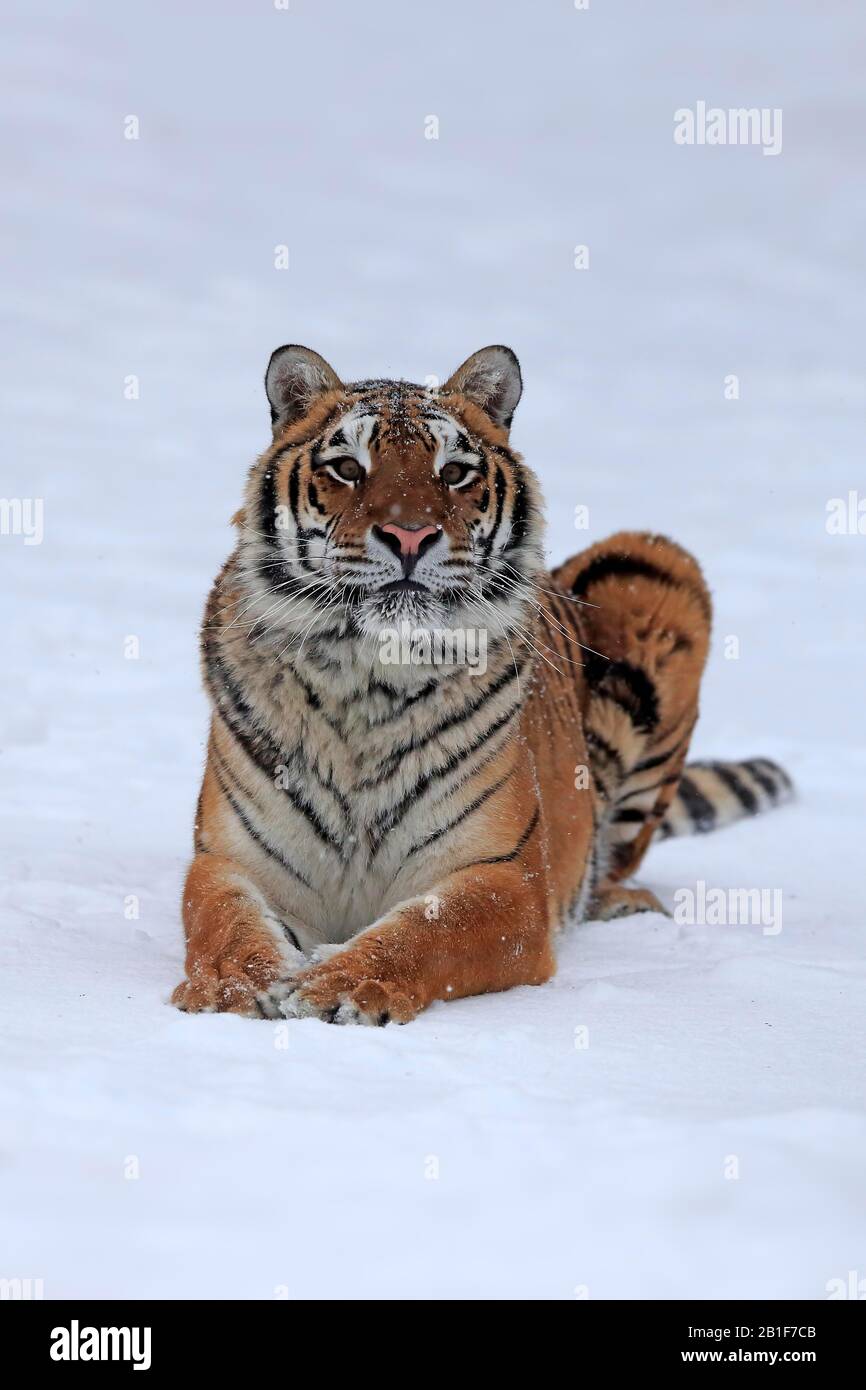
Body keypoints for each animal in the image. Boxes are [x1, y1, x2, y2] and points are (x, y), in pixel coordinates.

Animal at [172, 344, 793, 1025]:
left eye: (453, 472)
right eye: (347, 467)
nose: (410, 535)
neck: (368, 678)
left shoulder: (505, 876)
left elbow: (424, 933)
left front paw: (338, 986)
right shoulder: (231, 861)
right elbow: (226, 928)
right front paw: (235, 989)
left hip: (655, 563)